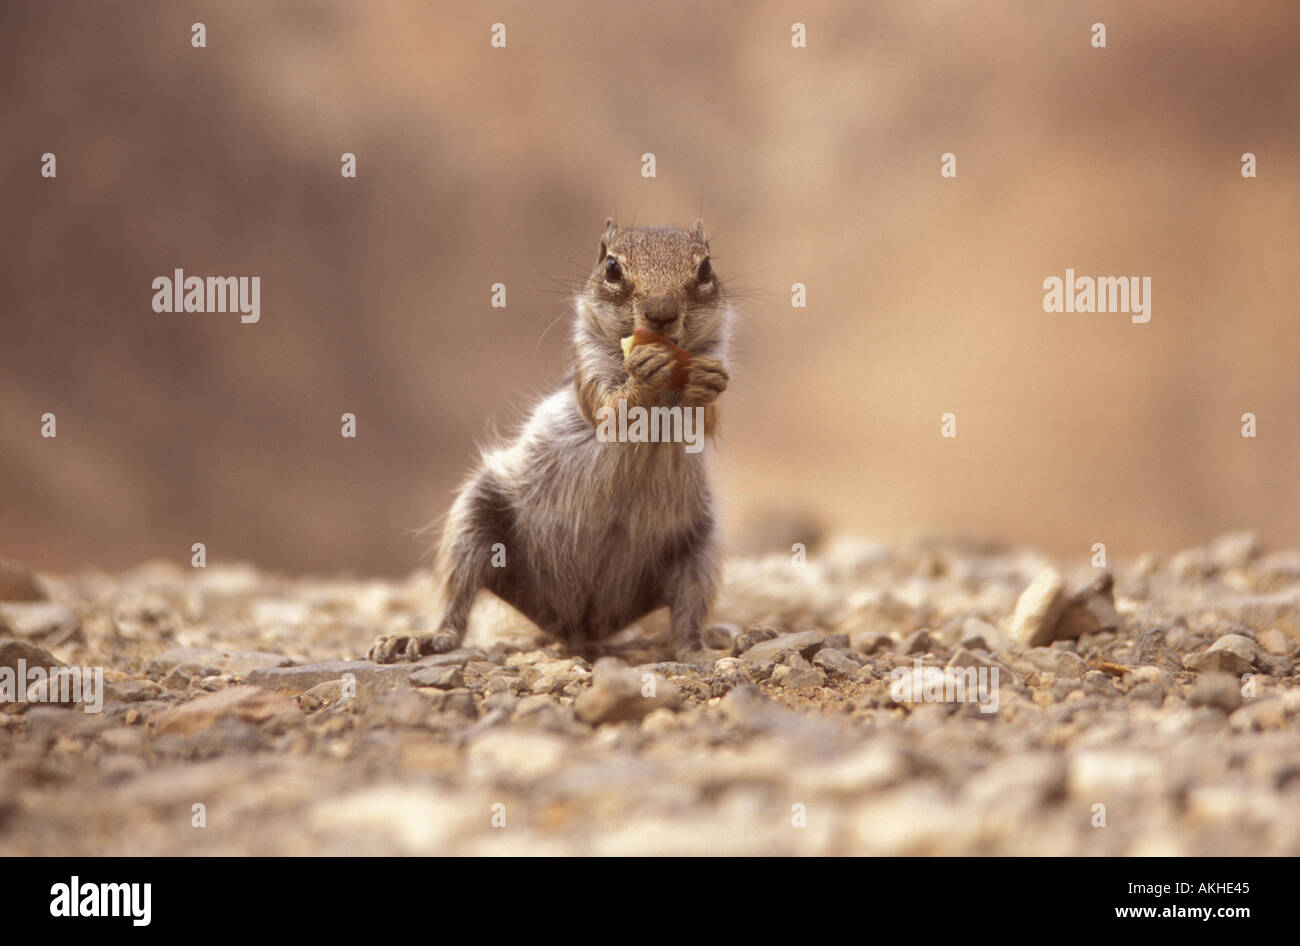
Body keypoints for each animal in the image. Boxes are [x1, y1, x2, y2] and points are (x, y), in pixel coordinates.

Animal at [368, 219, 733, 664]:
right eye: (612, 268)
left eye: (705, 268)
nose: (660, 315)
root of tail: (580, 622)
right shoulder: (588, 372)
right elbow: (611, 410)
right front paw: (644, 371)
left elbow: (707, 421)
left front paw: (706, 381)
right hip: (472, 521)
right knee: (457, 602)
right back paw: (420, 638)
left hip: (700, 552)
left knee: (686, 618)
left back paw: (701, 649)